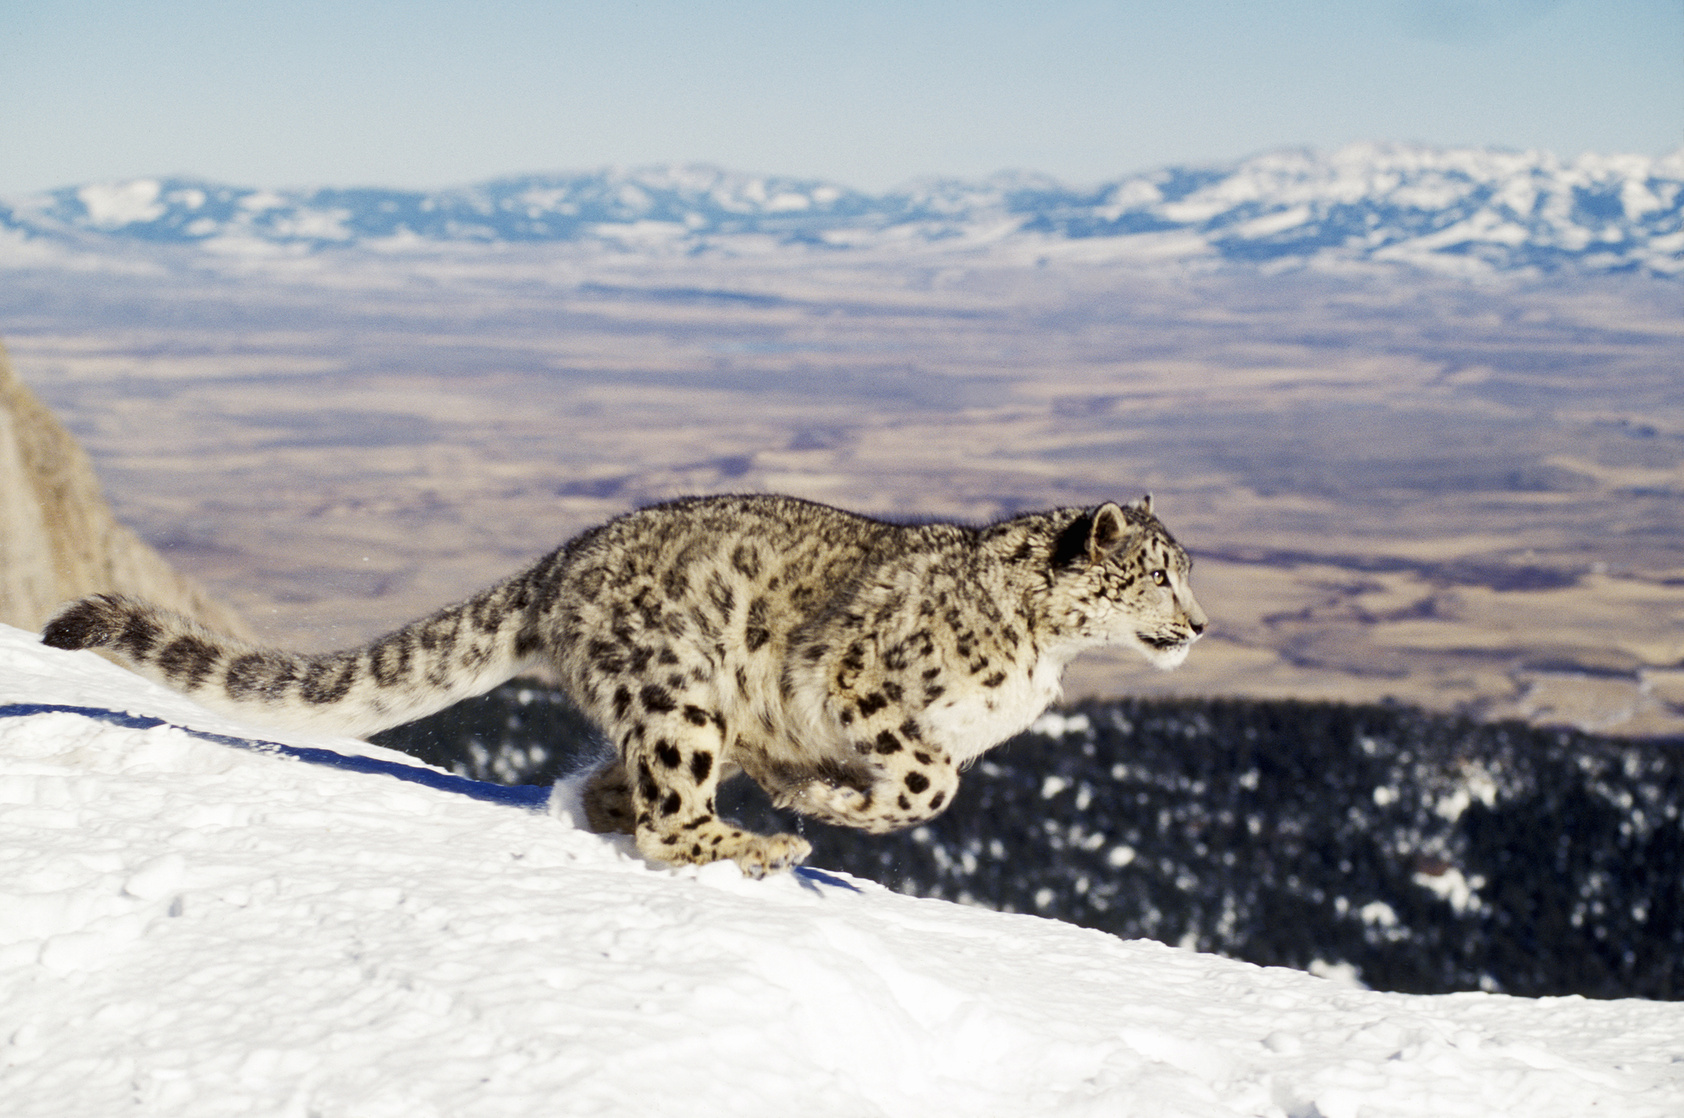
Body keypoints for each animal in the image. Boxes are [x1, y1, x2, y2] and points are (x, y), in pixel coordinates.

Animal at [42, 493, 1206, 876]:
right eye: (1157, 572)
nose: (1198, 624)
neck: (1047, 660)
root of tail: (561, 563)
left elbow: (928, 782)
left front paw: (815, 787)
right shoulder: (861, 676)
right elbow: (928, 782)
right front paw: (833, 803)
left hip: (677, 707)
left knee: (622, 791)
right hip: (681, 692)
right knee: (667, 818)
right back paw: (761, 844)